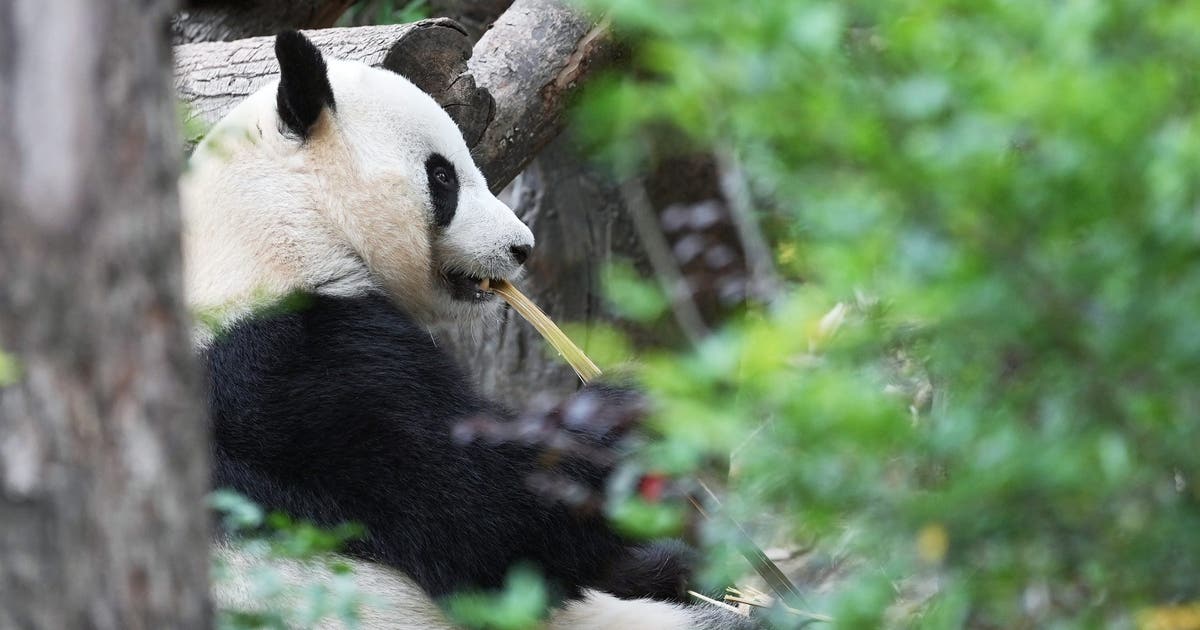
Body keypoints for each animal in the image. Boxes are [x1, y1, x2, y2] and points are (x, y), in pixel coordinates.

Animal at [184, 30, 755, 630]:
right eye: (443, 176)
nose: (521, 247)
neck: (275, 221)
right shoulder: (296, 374)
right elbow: (487, 517)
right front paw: (627, 408)